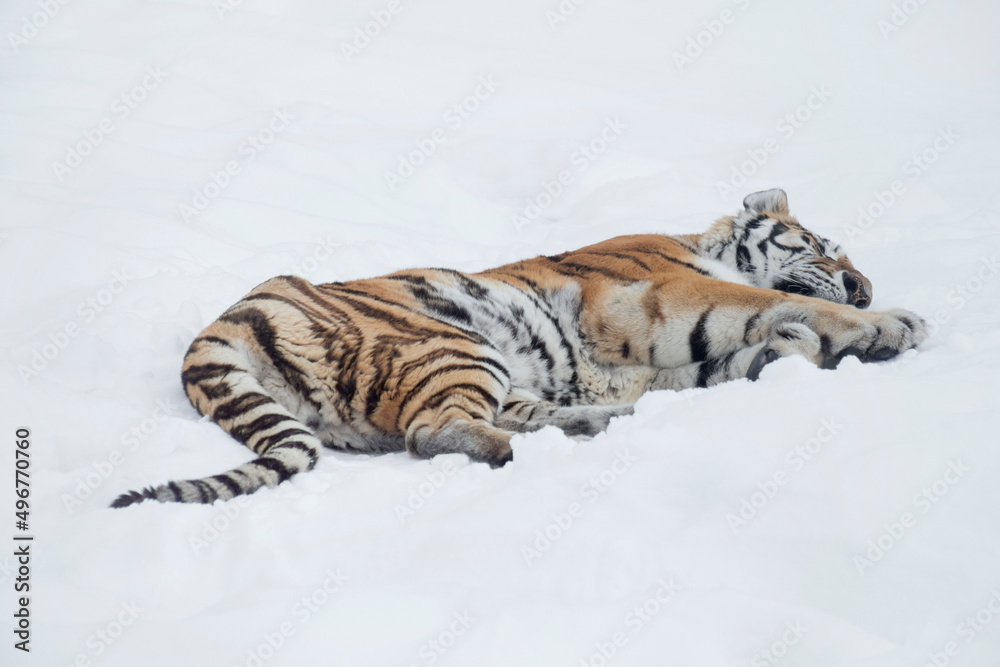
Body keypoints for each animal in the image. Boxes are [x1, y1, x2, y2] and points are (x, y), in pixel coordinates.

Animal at [111, 189, 927, 507]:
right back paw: (512, 452)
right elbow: (769, 305)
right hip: (452, 342)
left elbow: (729, 360)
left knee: (507, 415)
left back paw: (590, 429)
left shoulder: (637, 366)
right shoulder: (661, 294)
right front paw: (889, 325)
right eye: (822, 245)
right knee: (432, 432)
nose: (862, 287)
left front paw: (808, 348)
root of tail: (222, 324)